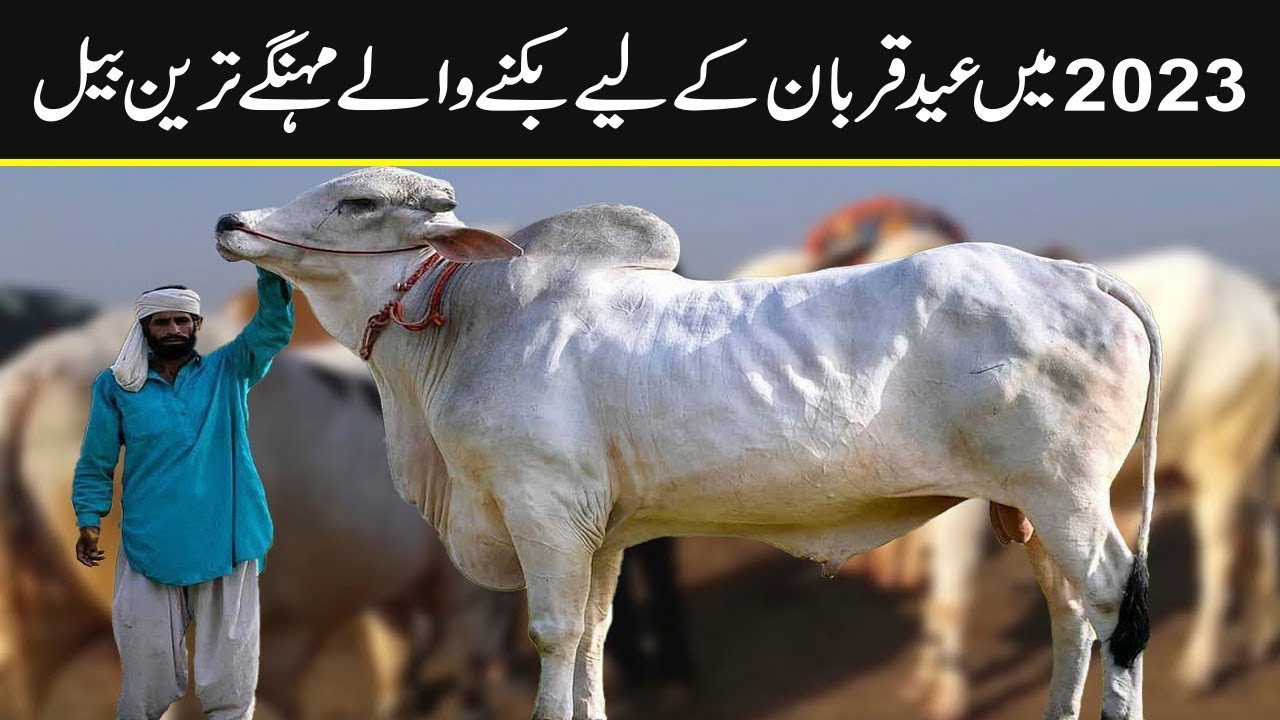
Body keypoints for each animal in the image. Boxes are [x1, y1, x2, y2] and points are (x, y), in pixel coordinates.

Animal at [212, 166, 1162, 720]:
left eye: (357, 202)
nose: (231, 221)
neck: (472, 326)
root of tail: (1079, 273)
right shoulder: (598, 534)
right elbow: (594, 641)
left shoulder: (542, 513)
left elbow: (553, 638)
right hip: (1030, 508)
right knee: (1069, 615)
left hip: (1067, 496)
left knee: (1111, 605)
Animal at [730, 200, 1280, 720]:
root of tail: (1255, 305)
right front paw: (923, 682)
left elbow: (948, 601)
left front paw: (947, 697)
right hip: (1247, 466)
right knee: (1261, 537)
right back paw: (1257, 637)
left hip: (1219, 462)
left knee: (1219, 556)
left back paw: (1201, 663)